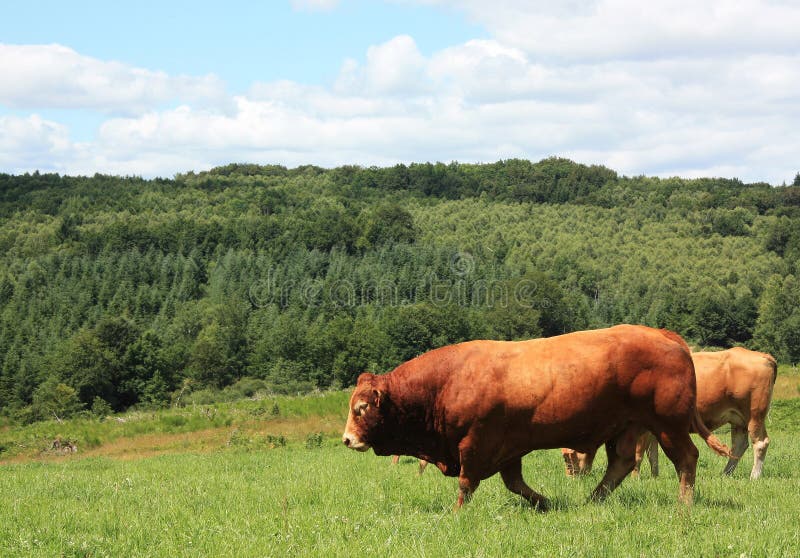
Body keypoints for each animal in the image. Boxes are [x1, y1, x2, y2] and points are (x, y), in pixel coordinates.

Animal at [342, 325, 732, 509]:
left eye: (361, 408)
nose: (346, 439)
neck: (449, 379)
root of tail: (662, 334)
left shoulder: (476, 443)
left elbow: (467, 484)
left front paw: (456, 512)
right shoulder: (508, 449)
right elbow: (515, 483)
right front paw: (545, 503)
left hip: (669, 425)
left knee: (687, 458)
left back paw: (684, 504)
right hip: (626, 426)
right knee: (620, 464)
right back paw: (591, 500)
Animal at [561, 347, 777, 480]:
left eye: (569, 457)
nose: (572, 479)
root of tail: (762, 356)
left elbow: (639, 453)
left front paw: (635, 477)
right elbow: (652, 454)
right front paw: (654, 476)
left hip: (754, 414)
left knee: (760, 443)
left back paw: (754, 476)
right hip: (737, 419)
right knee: (739, 445)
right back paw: (726, 473)